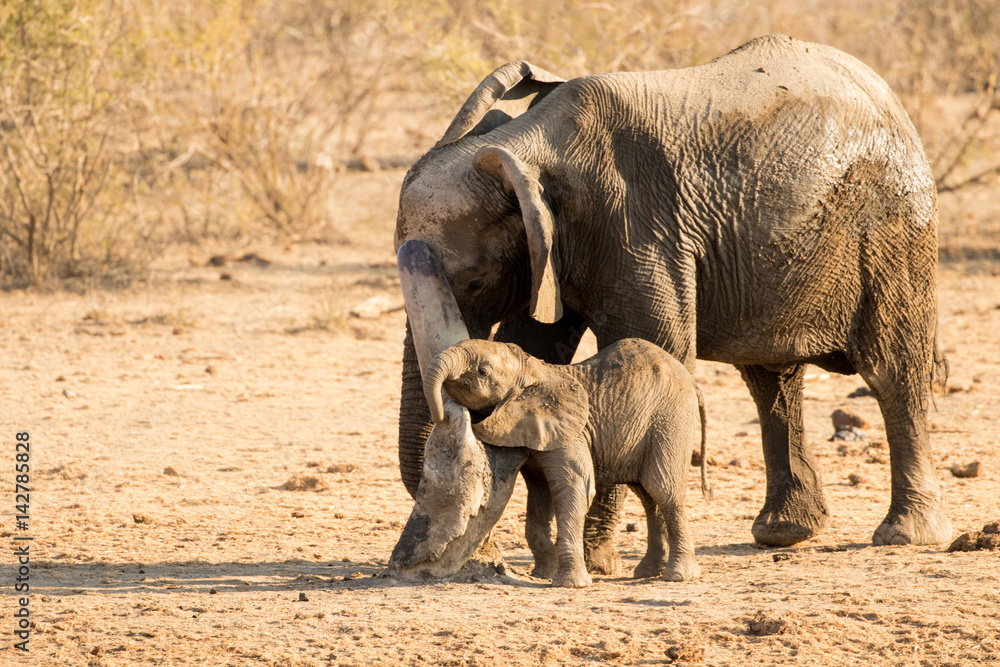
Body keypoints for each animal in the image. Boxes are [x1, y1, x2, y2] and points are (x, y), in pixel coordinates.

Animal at [394, 34, 952, 557]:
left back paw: (905, 535)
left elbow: (654, 350)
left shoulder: (635, 225)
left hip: (893, 226)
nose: (479, 548)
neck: (529, 146)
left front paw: (598, 564)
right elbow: (538, 347)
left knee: (890, 370)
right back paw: (784, 533)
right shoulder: (550, 248)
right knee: (771, 379)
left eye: (473, 281)